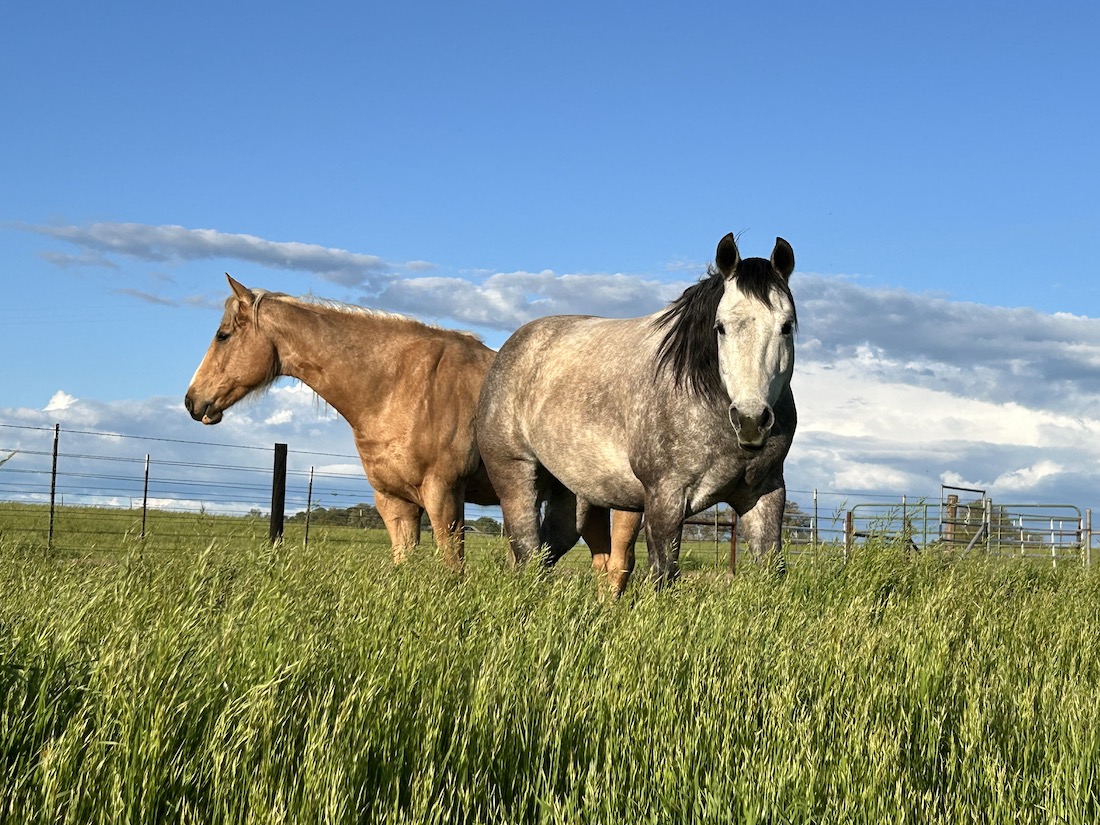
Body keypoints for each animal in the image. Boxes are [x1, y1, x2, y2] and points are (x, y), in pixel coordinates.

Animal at [184, 275, 641, 576]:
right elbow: (404, 565)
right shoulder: (394, 502)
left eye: (223, 335)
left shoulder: (443, 495)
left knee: (619, 565)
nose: (193, 401)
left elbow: (451, 567)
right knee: (604, 565)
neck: (395, 386)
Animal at [477, 233, 796, 588]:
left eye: (786, 326)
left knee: (545, 554)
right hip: (516, 478)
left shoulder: (765, 494)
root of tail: (510, 348)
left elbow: (774, 572)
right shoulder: (665, 498)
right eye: (721, 327)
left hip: (571, 497)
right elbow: (663, 575)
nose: (751, 421)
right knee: (527, 556)